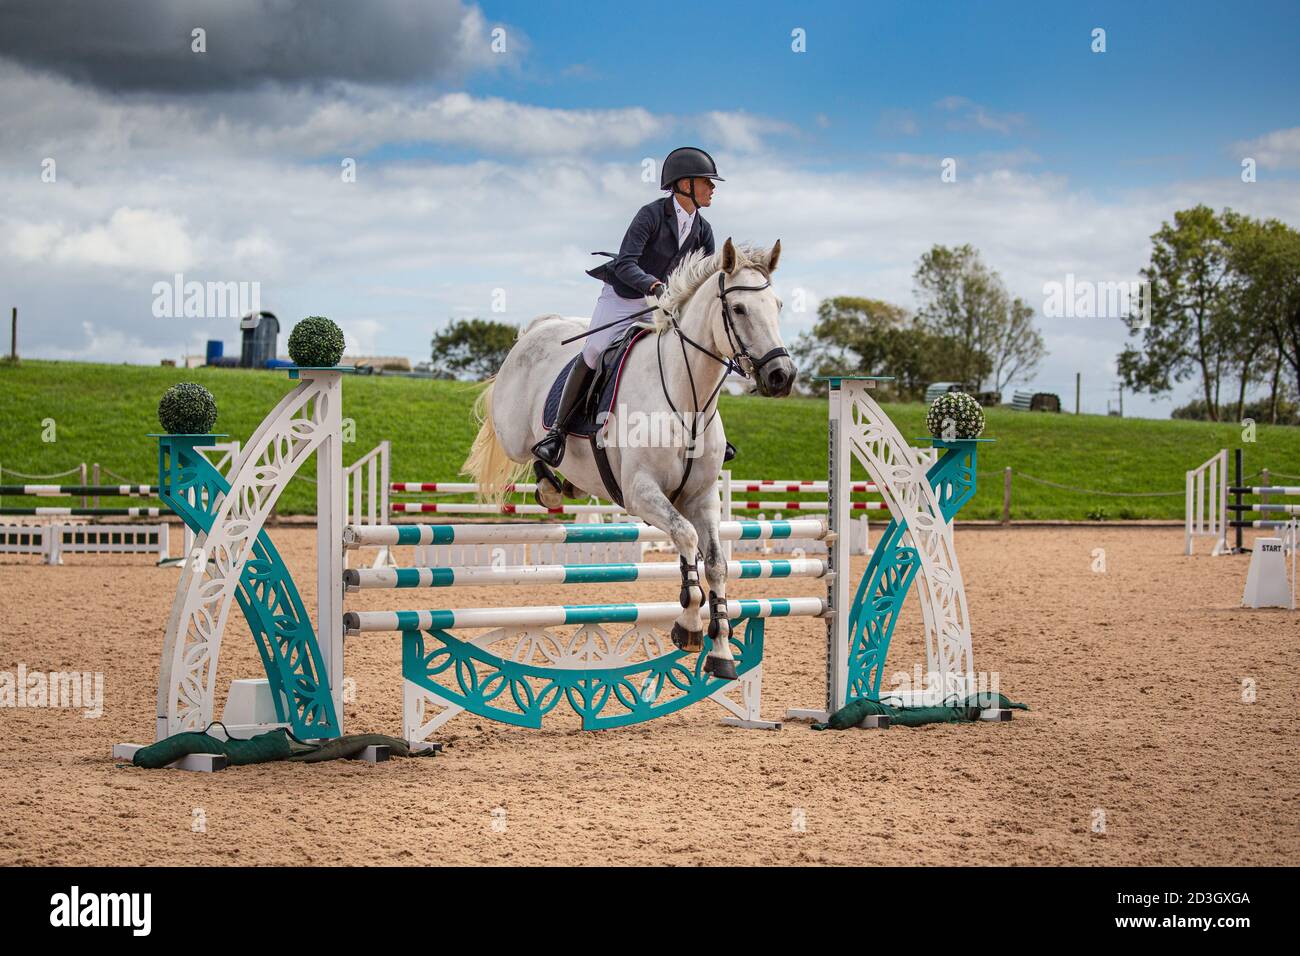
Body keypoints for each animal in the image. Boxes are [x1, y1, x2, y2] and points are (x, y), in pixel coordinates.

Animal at [463, 239, 796, 679]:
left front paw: (721, 652)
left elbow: (715, 564)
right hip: (514, 433)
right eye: (739, 309)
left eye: (777, 305)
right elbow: (686, 538)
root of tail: (540, 327)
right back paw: (550, 481)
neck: (687, 399)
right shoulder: (641, 494)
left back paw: (568, 485)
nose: (782, 376)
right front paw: (689, 625)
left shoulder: (701, 498)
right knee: (531, 450)